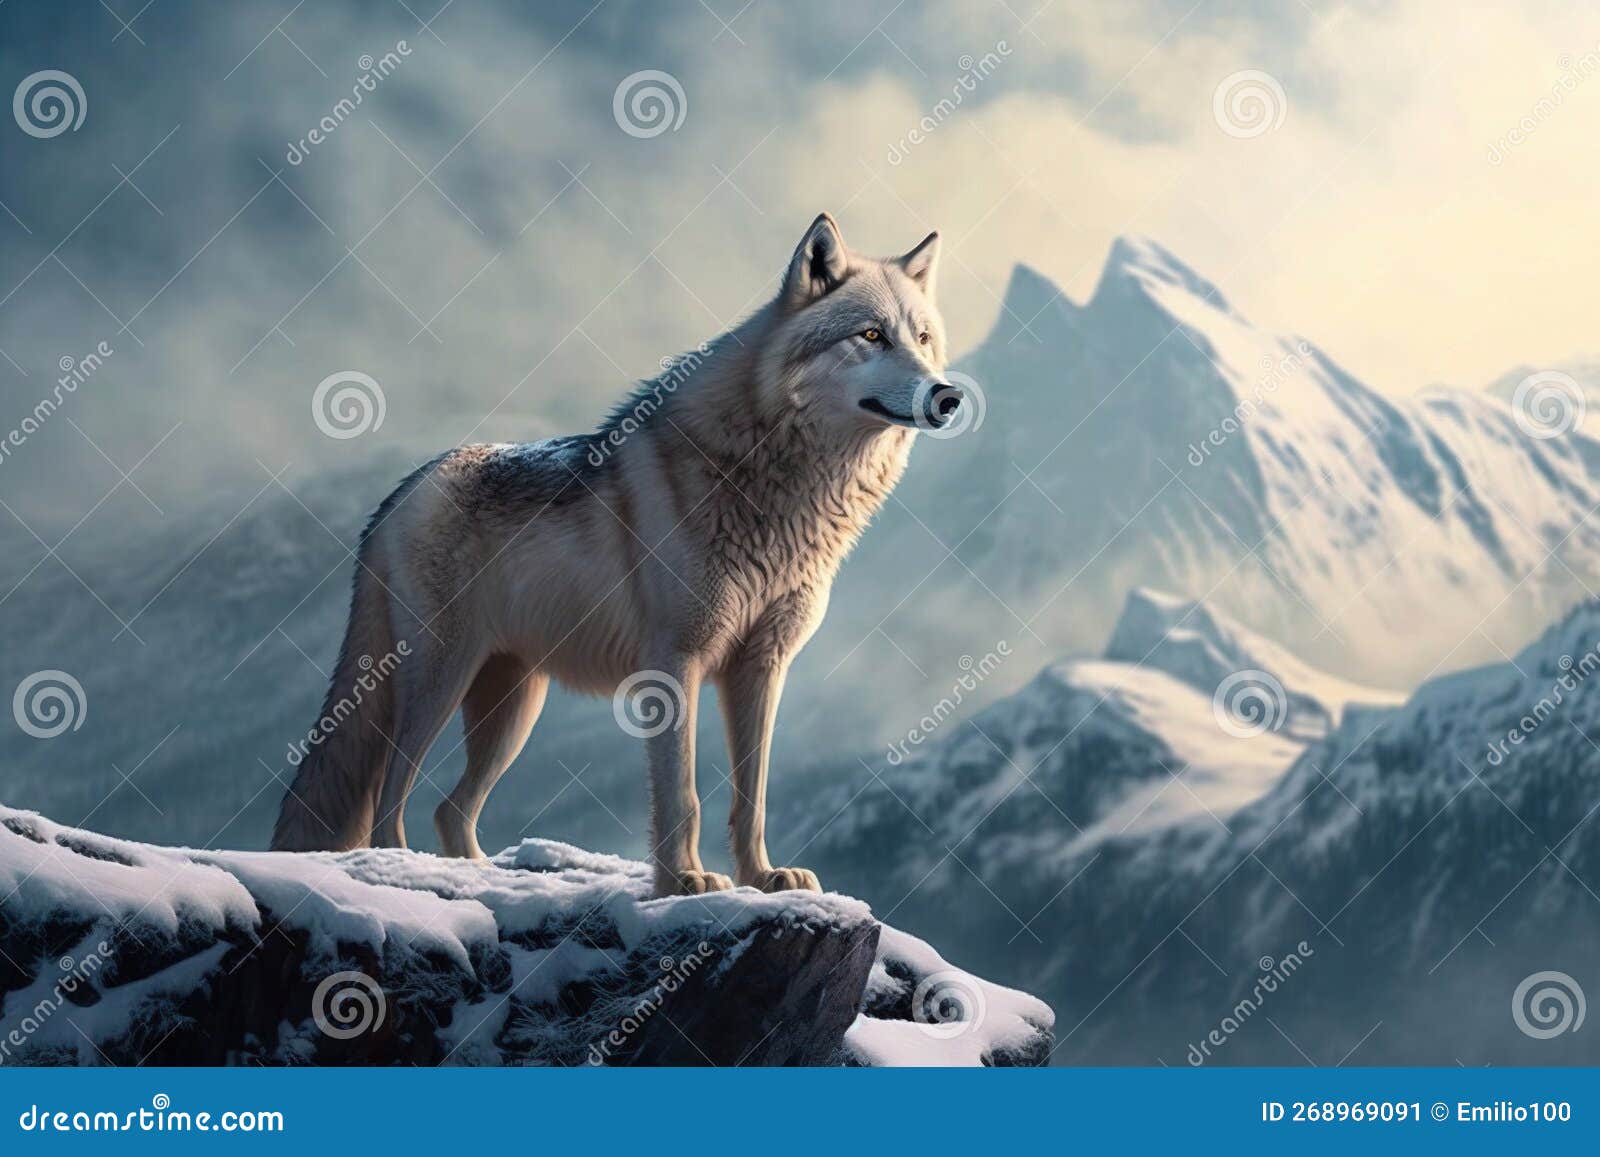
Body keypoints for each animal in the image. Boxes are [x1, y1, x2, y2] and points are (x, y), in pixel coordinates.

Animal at [271, 213, 960, 896]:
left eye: (923, 339)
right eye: (871, 335)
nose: (948, 396)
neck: (782, 486)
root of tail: (404, 488)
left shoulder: (762, 668)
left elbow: (752, 797)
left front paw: (762, 877)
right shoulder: (675, 661)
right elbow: (683, 793)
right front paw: (683, 879)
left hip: (513, 709)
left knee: (449, 807)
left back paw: (478, 873)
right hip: (440, 680)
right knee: (389, 794)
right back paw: (405, 870)